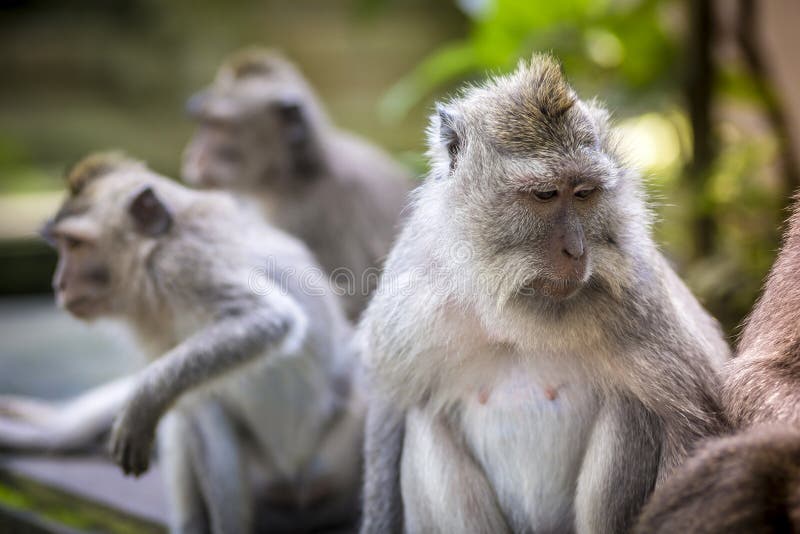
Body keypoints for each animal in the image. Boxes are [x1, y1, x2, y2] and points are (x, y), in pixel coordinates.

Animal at [24, 153, 363, 533]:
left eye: (76, 244)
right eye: (62, 245)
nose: (59, 284)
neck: (156, 248)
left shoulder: (184, 264)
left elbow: (268, 319)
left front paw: (144, 399)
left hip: (330, 451)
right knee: (194, 405)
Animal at [358, 55, 731, 533]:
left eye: (585, 193)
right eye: (545, 194)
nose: (577, 250)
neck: (510, 300)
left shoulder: (639, 295)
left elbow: (694, 422)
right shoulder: (411, 299)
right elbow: (390, 404)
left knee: (632, 408)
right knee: (424, 422)